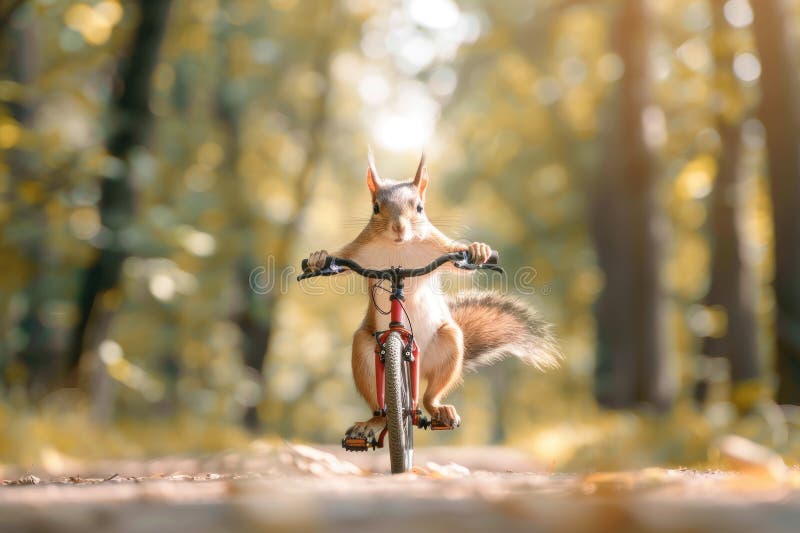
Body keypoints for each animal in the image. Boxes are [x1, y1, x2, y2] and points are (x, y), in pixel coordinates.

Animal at [304, 153, 561, 443]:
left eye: (419, 208)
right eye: (375, 208)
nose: (398, 227)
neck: (399, 250)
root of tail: (421, 368)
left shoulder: (439, 247)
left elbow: (458, 258)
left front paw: (478, 250)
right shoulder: (358, 251)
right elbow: (340, 259)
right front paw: (318, 259)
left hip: (449, 341)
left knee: (429, 395)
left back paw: (440, 410)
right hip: (364, 348)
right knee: (380, 404)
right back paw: (371, 423)